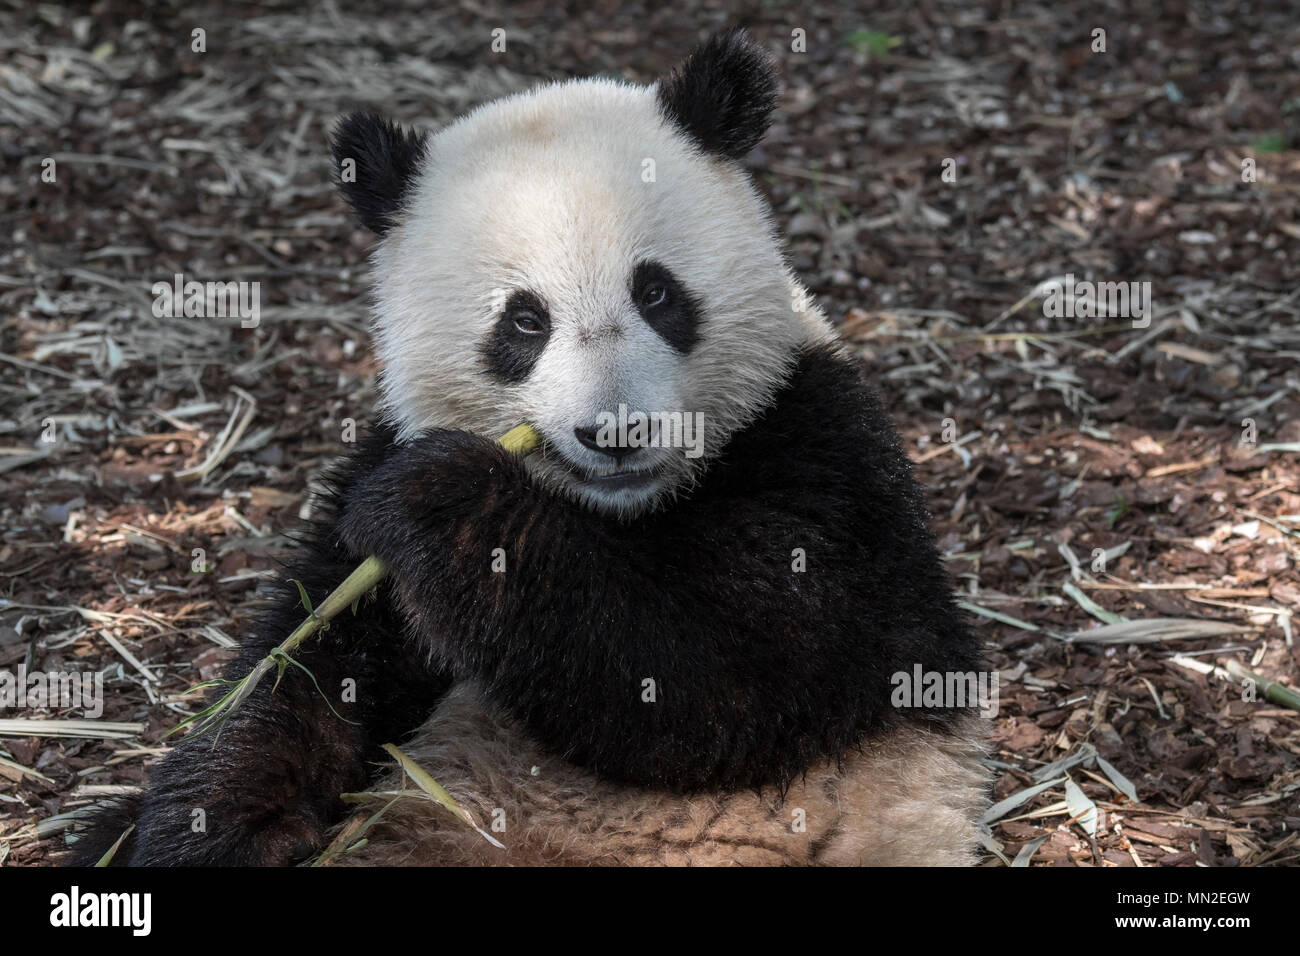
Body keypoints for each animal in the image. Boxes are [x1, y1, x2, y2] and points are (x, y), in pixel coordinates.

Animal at [70, 30, 990, 867]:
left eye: (656, 293)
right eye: (523, 321)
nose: (615, 433)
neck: (615, 512)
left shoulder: (821, 454)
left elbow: (721, 679)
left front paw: (445, 499)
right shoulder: (370, 481)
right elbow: (311, 665)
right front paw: (216, 826)